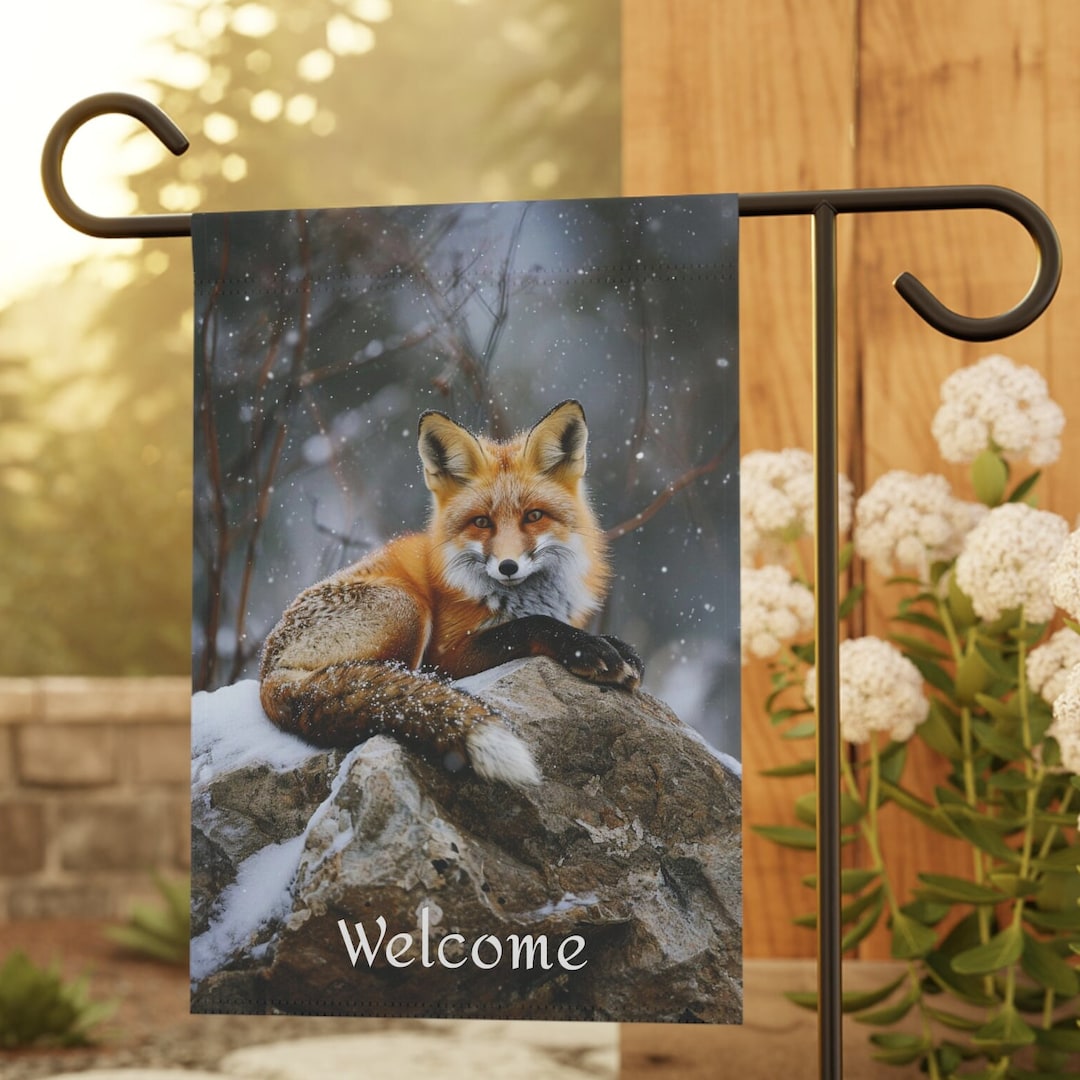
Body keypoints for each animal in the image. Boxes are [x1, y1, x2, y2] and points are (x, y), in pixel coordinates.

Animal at [259, 399, 643, 789]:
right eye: (482, 522)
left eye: (534, 516)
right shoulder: (449, 655)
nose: (507, 566)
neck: (523, 598)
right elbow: (529, 626)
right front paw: (587, 649)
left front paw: (615, 646)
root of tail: (267, 667)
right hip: (407, 610)